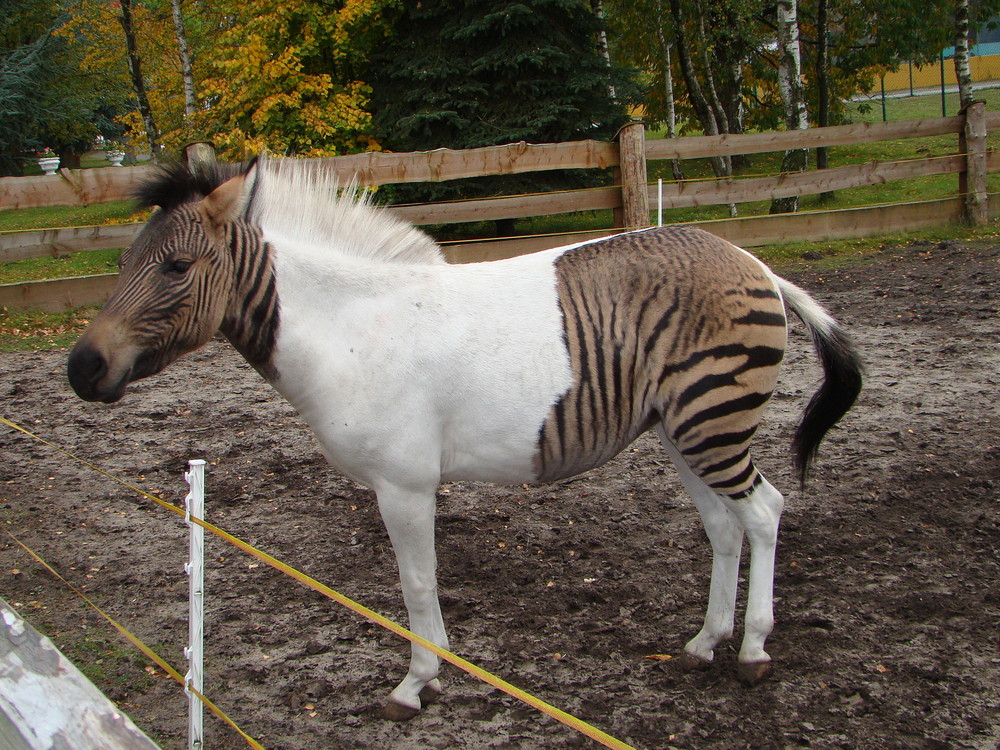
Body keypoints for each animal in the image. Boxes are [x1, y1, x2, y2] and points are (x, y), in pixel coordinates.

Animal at [67, 157, 863, 720]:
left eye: (176, 266)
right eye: (122, 264)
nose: (81, 369)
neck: (352, 331)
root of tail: (757, 265)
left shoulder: (405, 485)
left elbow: (416, 583)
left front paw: (418, 683)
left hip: (713, 421)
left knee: (765, 514)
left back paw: (753, 648)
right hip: (686, 429)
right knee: (726, 528)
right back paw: (705, 643)